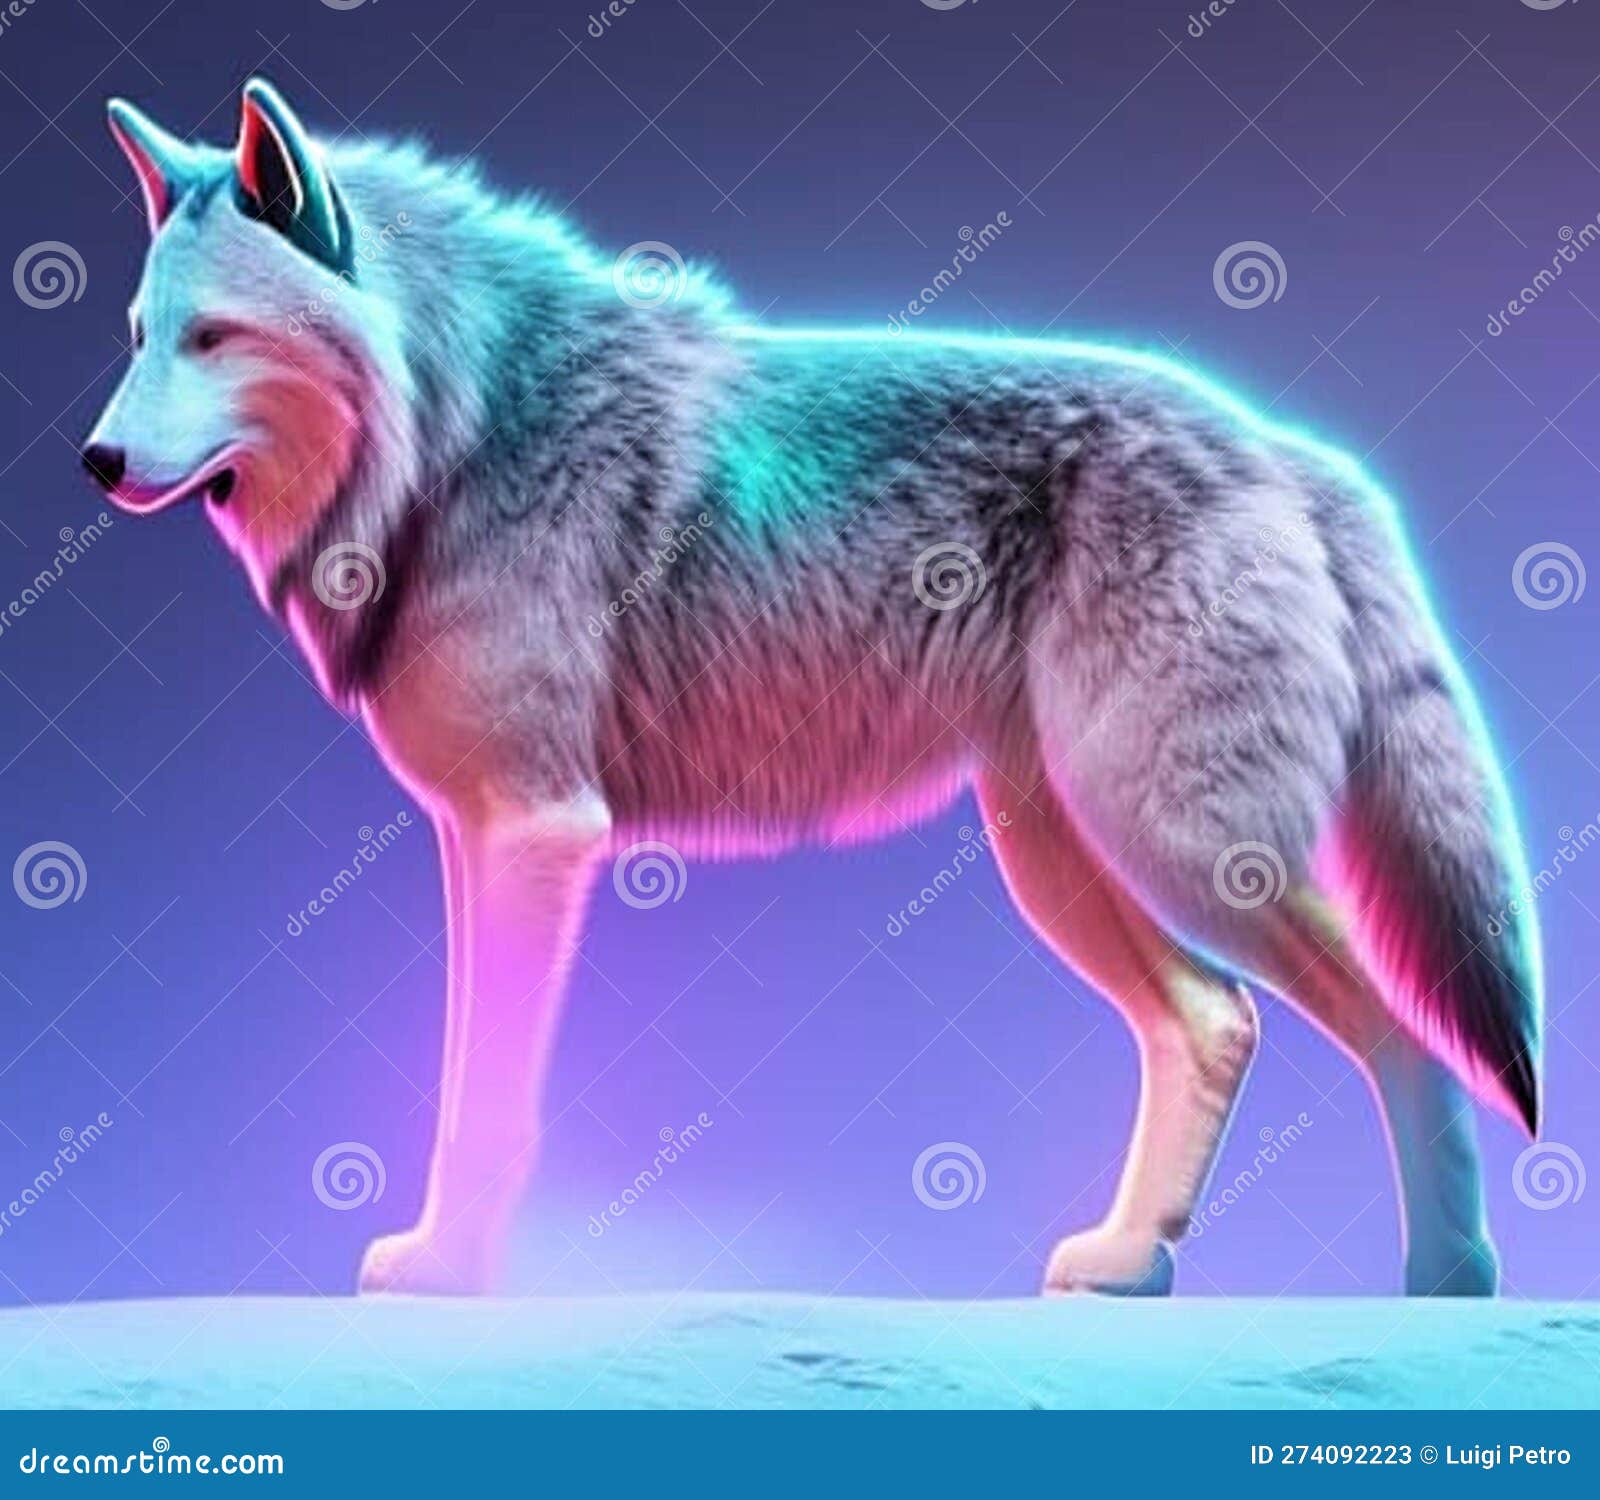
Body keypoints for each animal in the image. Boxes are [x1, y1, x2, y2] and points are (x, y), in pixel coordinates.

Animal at [84, 79, 1542, 1298]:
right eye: (142, 336)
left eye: (213, 338)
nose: (93, 460)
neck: (462, 429)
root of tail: (1295, 451)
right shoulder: (473, 831)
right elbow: (461, 1082)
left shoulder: (538, 829)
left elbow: (484, 1098)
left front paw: (452, 1274)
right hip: (1066, 856)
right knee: (1214, 1024)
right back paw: (1133, 1263)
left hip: (1179, 847)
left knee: (1400, 1030)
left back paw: (1451, 1283)